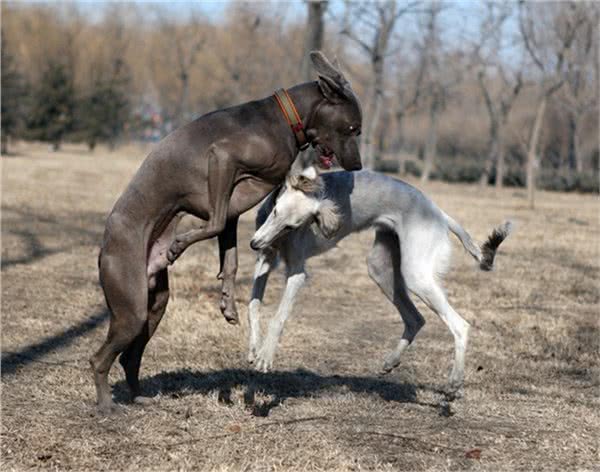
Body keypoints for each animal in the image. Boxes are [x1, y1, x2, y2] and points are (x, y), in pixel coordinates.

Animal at [89, 52, 360, 412]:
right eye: (354, 128)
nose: (358, 166)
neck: (284, 121)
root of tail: (104, 249)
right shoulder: (222, 159)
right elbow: (213, 223)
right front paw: (179, 245)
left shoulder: (232, 208)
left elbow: (229, 259)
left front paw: (228, 304)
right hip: (130, 307)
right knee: (100, 358)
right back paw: (107, 404)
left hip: (155, 304)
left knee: (128, 358)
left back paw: (139, 396)